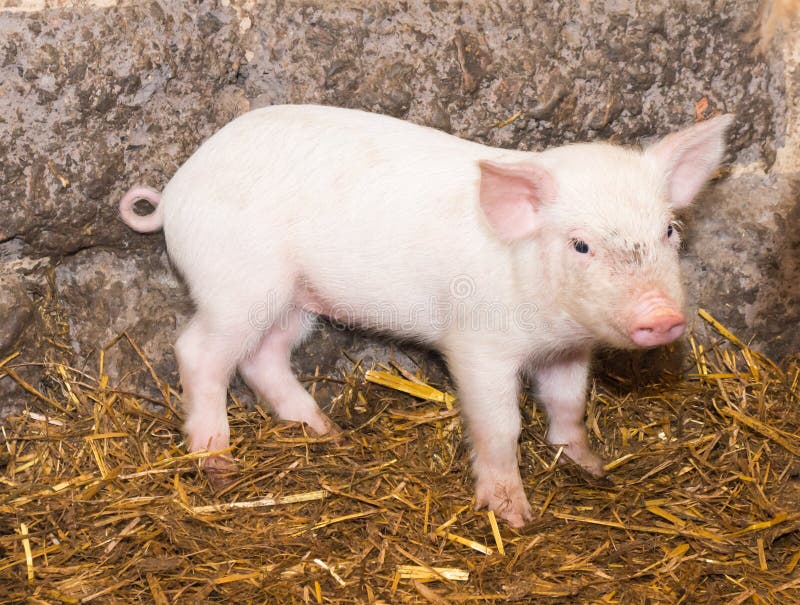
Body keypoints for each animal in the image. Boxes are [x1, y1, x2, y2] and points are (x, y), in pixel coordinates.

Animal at [119, 105, 733, 527]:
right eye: (580, 244)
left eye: (669, 230)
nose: (662, 317)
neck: (551, 320)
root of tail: (174, 193)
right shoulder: (477, 346)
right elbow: (500, 424)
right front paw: (514, 516)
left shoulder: (569, 349)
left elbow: (569, 404)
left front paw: (590, 465)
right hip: (238, 285)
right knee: (198, 352)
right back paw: (217, 462)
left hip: (295, 299)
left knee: (262, 357)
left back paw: (326, 432)